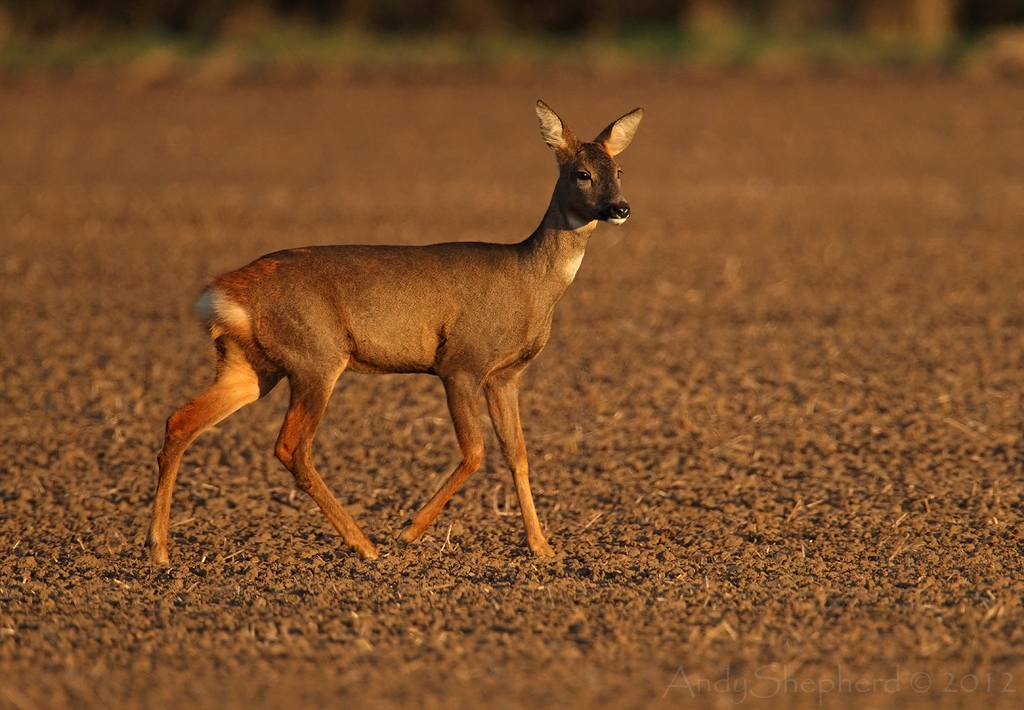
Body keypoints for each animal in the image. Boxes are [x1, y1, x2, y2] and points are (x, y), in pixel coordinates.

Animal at [146, 100, 642, 563]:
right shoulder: (461, 363)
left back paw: (159, 550)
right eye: (581, 173)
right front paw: (409, 532)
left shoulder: (505, 375)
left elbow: (517, 454)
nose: (620, 208)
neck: (529, 282)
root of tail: (225, 291)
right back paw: (364, 544)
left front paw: (542, 547)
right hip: (315, 357)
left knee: (181, 421)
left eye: (619, 170)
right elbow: (476, 451)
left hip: (252, 367)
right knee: (291, 447)